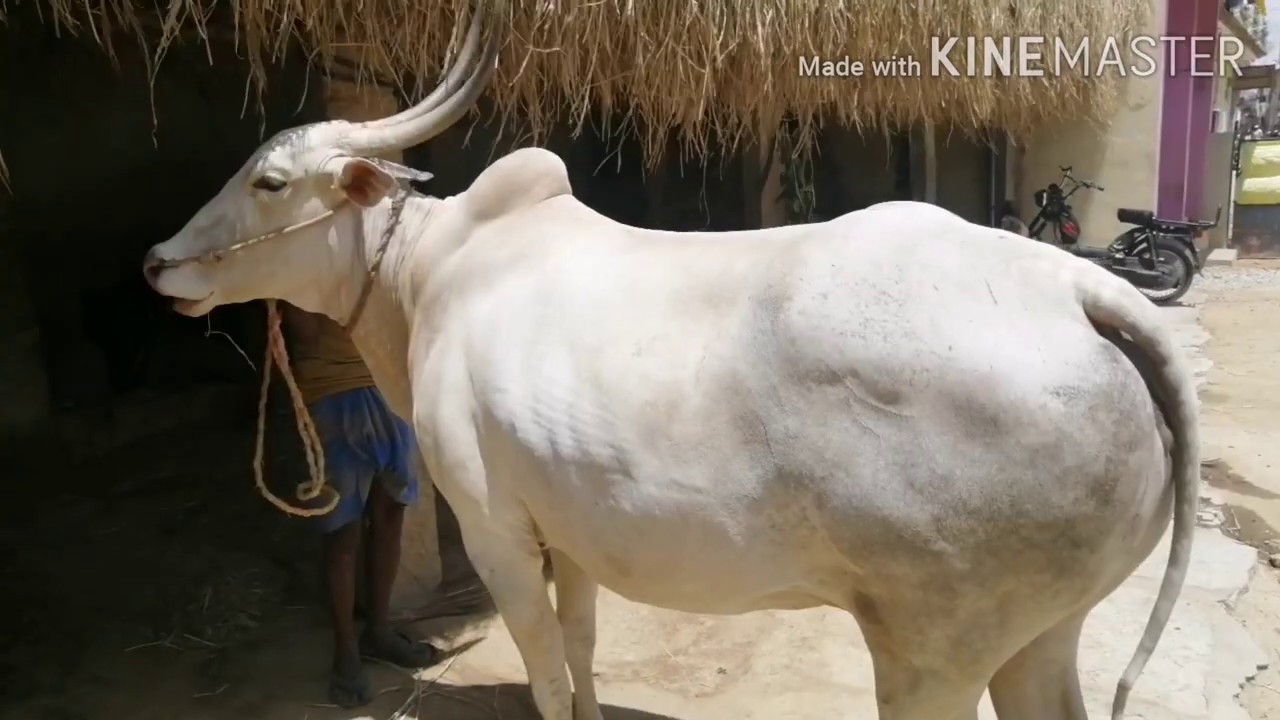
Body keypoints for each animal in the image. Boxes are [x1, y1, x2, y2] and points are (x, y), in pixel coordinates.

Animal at [141, 5, 1198, 719]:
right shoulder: (569, 528)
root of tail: (1077, 290)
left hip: (932, 650)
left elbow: (544, 669)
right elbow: (582, 647)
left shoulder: (493, 527)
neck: (430, 269)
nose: (159, 263)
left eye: (269, 182)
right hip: (1040, 636)